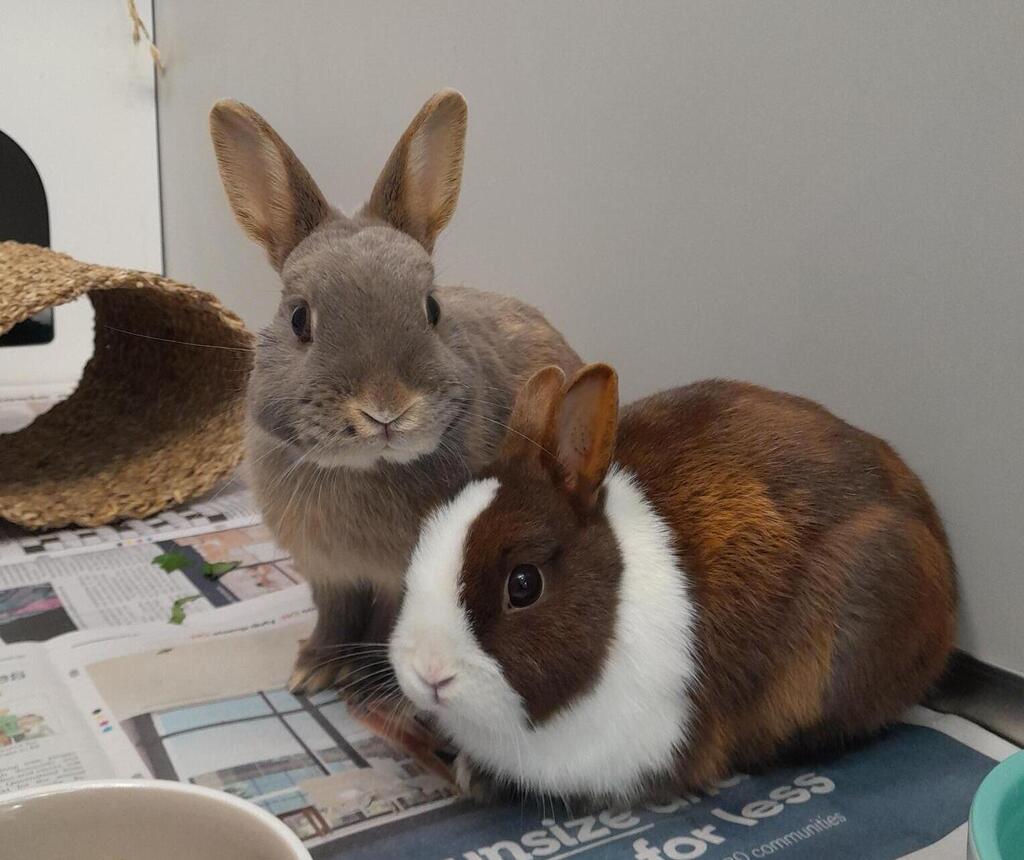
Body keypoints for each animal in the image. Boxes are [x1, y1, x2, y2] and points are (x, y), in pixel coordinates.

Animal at [209, 90, 581, 694]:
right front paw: (315, 669)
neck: (366, 469)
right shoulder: (327, 573)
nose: (385, 408)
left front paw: (372, 678)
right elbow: (334, 614)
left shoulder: (401, 581)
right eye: (299, 318)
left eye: (432, 309)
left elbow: (387, 620)